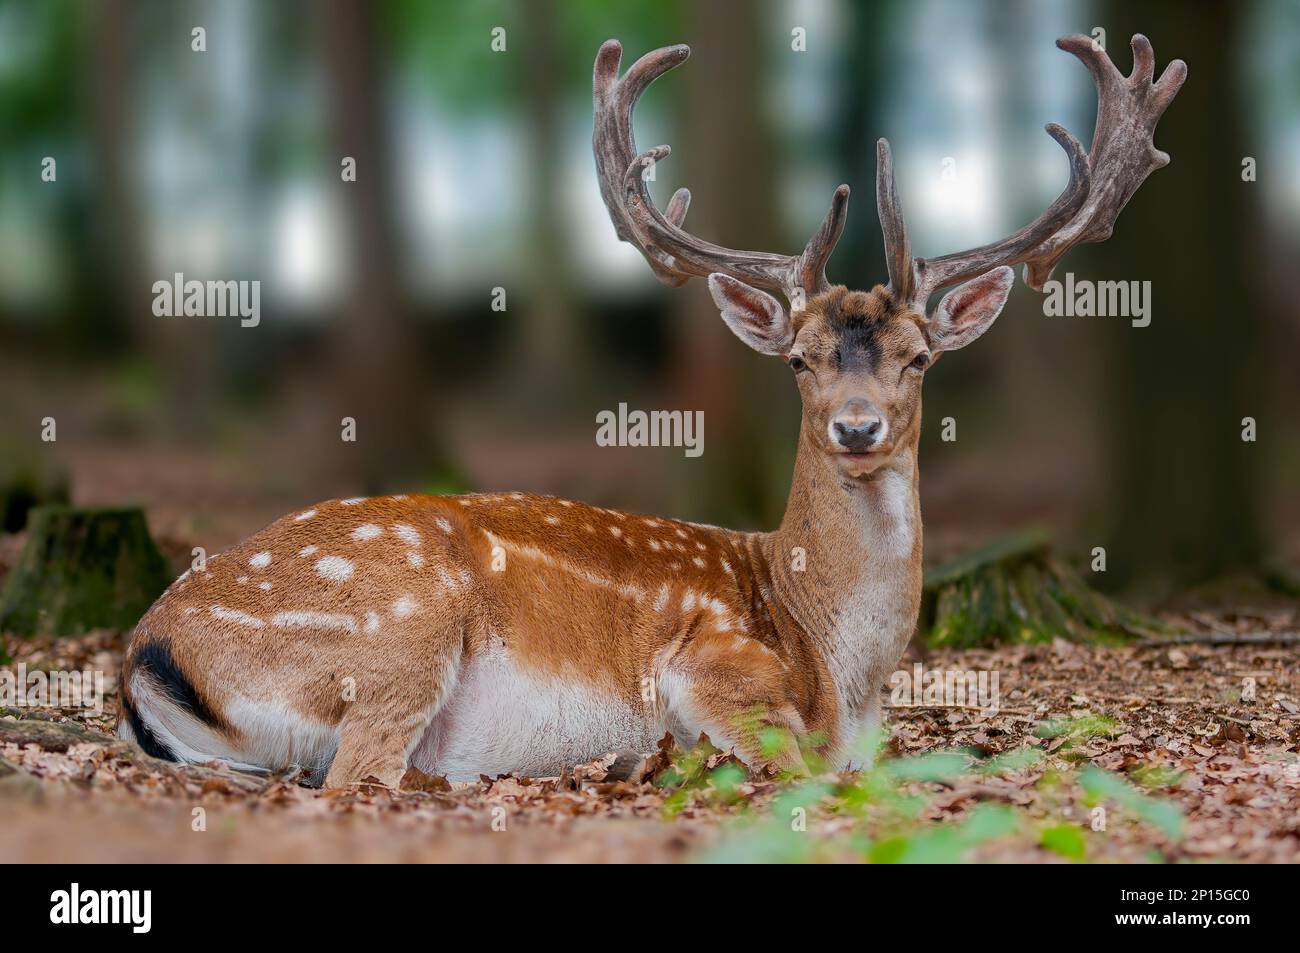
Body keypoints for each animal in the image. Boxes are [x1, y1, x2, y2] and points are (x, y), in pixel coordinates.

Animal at [117, 34, 1185, 788]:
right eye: (797, 359)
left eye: (919, 359)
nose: (856, 427)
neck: (839, 664)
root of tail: (145, 647)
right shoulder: (712, 664)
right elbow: (792, 762)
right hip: (399, 633)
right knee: (358, 778)